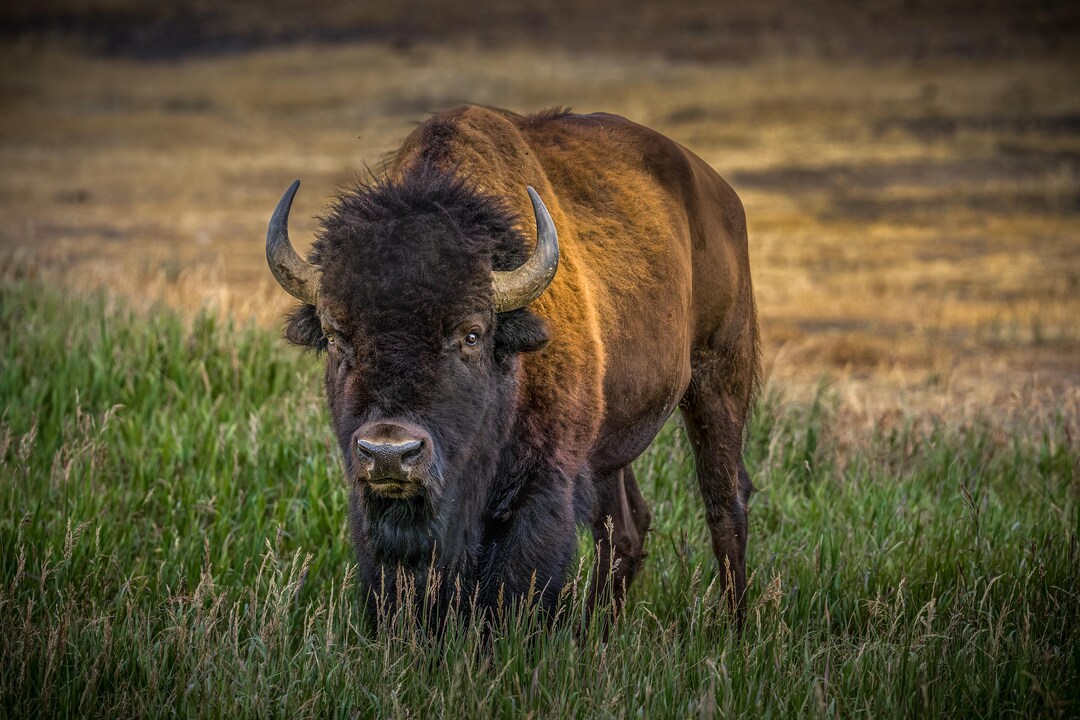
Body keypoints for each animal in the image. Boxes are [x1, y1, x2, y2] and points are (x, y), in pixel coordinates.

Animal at [265, 106, 760, 625]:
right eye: (336, 336)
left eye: (472, 333)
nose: (389, 452)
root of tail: (719, 193)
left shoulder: (541, 486)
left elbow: (514, 583)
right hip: (610, 442)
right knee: (625, 528)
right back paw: (596, 629)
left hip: (718, 378)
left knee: (725, 504)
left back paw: (734, 627)